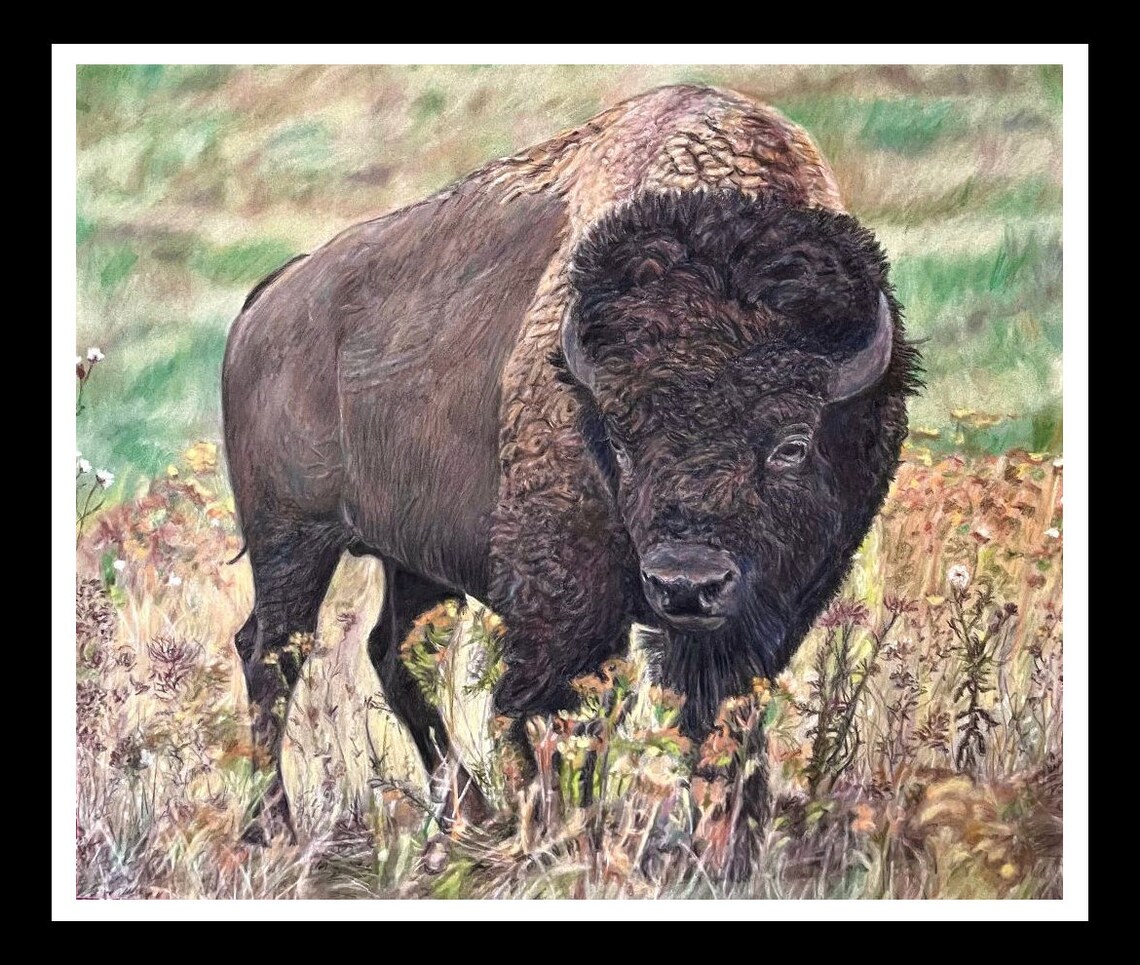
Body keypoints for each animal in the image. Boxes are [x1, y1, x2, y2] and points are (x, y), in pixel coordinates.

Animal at [222, 84, 921, 838]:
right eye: (618, 440)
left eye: (792, 444)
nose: (685, 584)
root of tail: (269, 299)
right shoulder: (563, 598)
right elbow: (556, 708)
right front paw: (568, 828)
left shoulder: (766, 607)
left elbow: (719, 716)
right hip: (293, 539)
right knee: (271, 656)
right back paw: (277, 828)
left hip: (413, 560)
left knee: (389, 650)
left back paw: (468, 808)